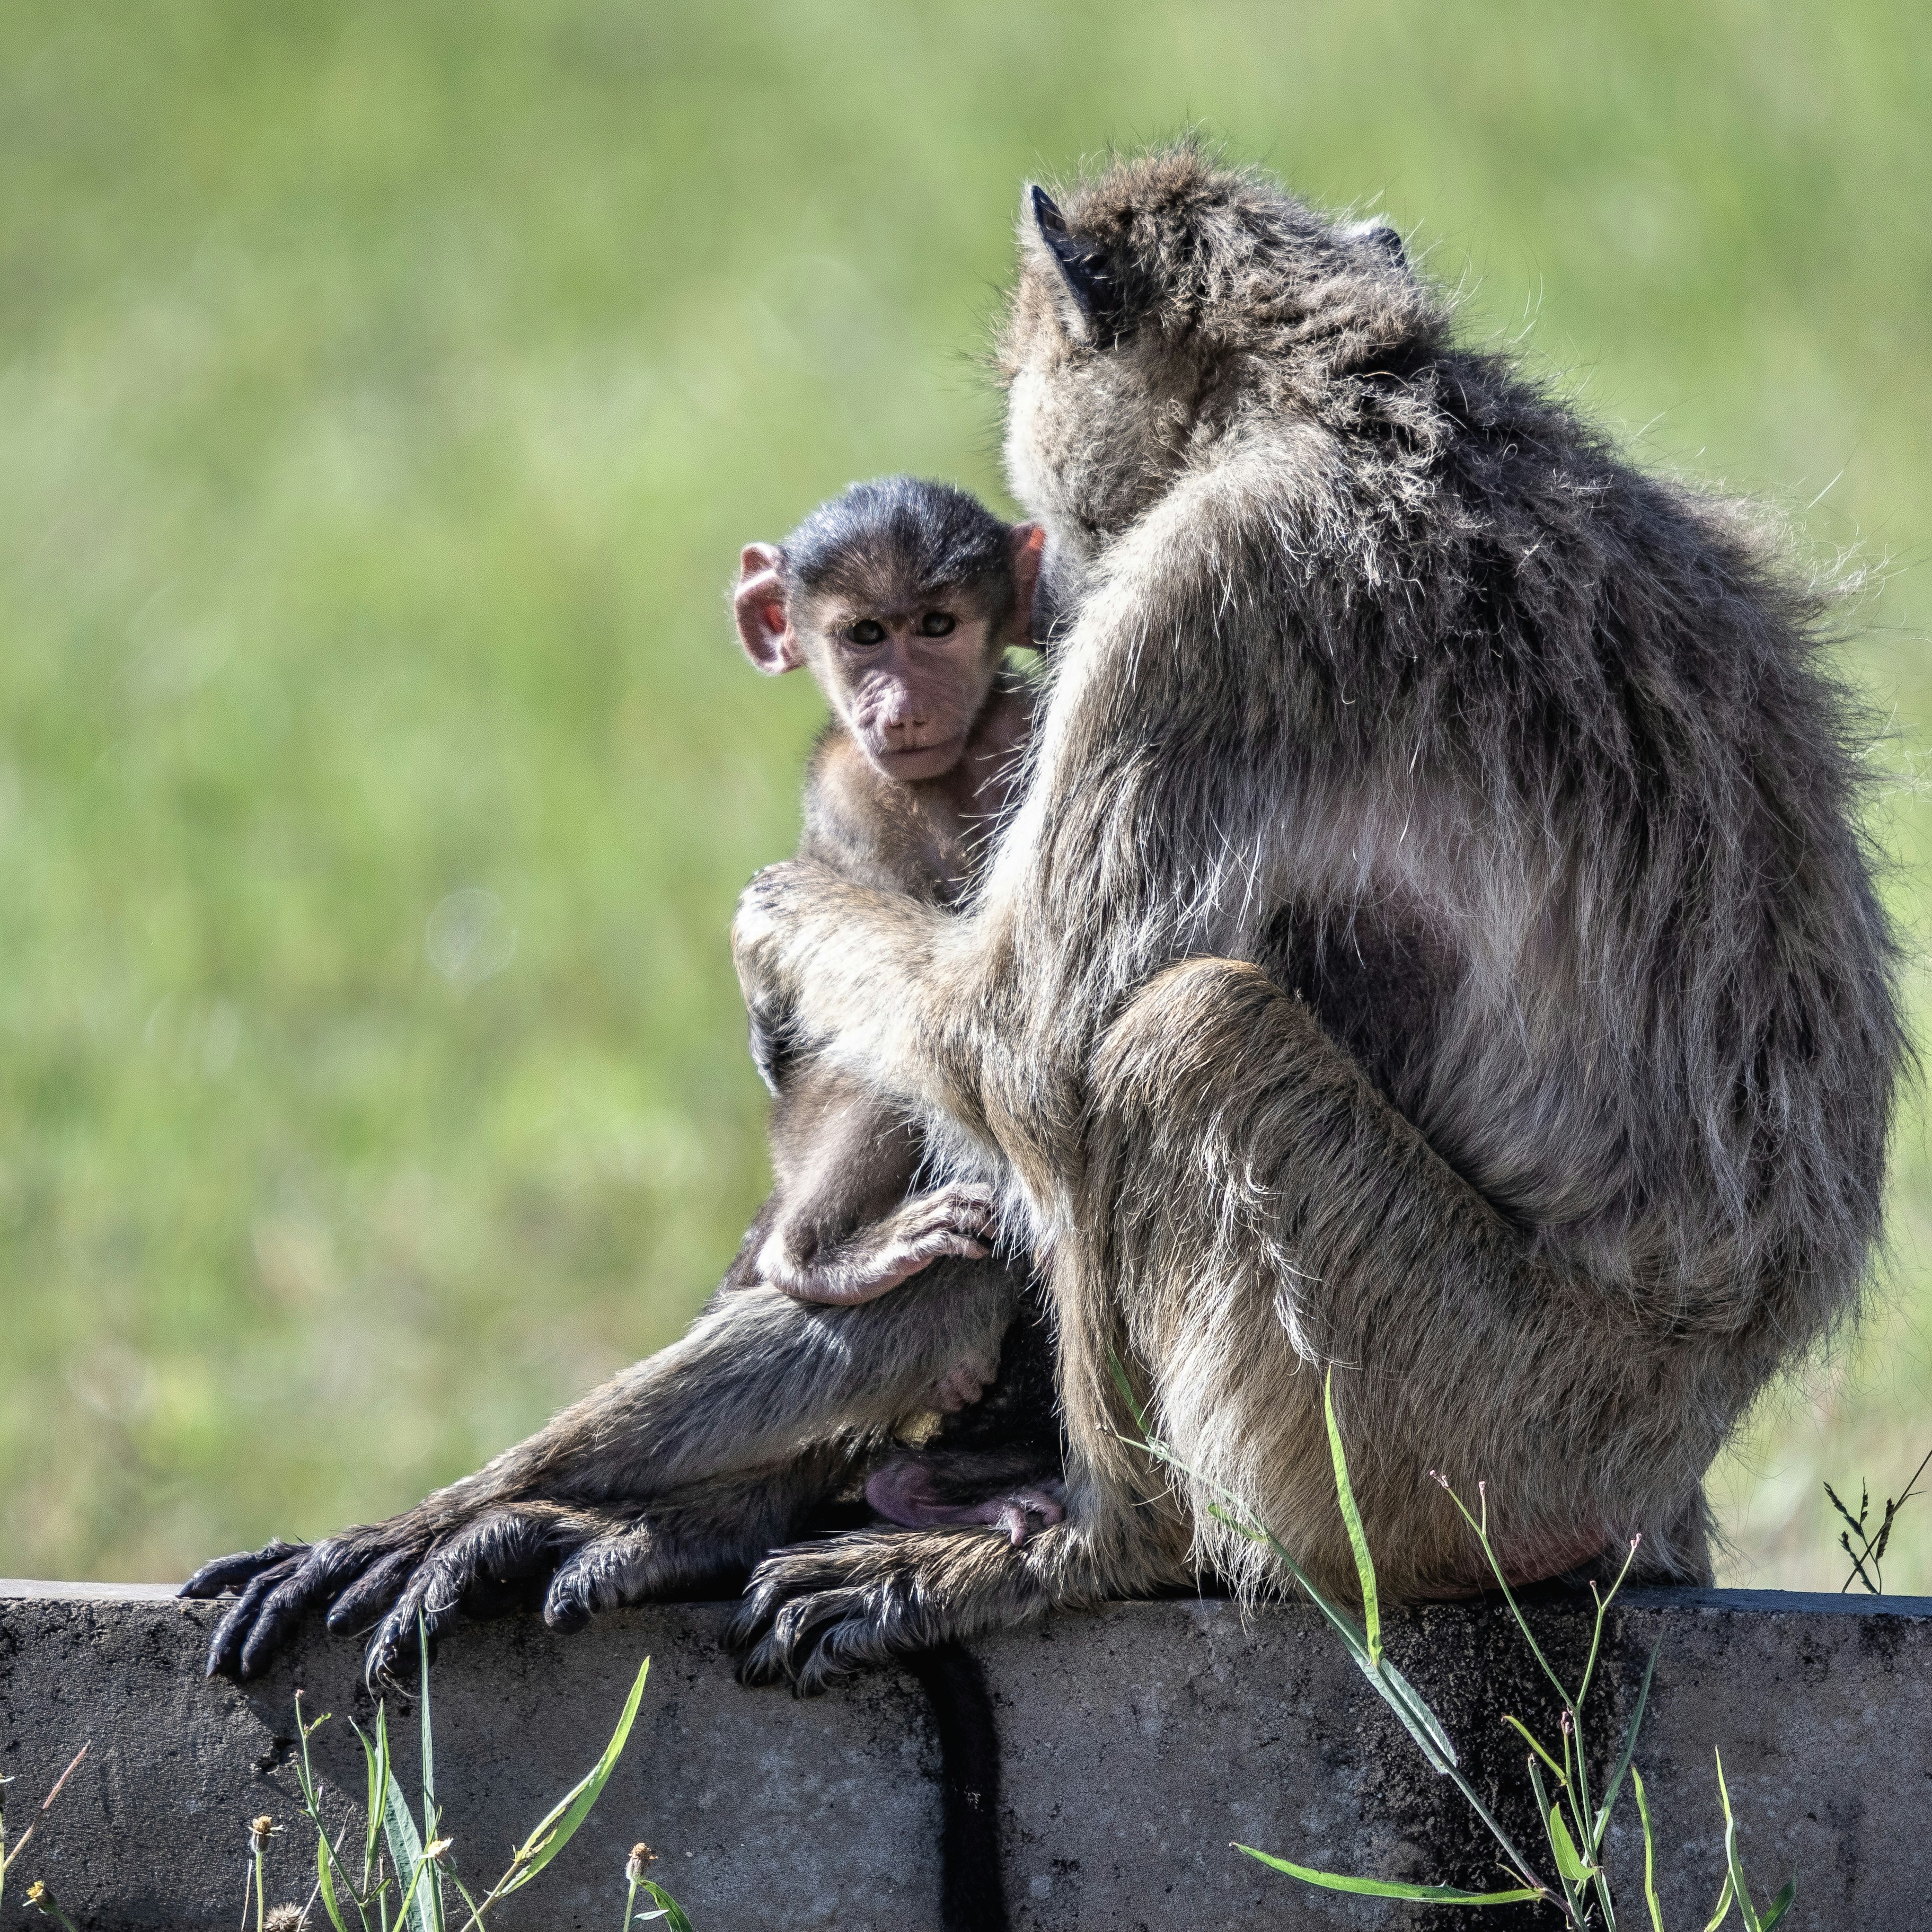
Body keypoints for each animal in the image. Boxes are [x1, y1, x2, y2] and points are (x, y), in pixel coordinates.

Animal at [714, 141, 1904, 1690]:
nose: (1042, 581)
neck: (1351, 402)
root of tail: (1686, 1407)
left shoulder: (1203, 597)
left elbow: (1023, 1044)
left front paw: (774, 923)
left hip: (1471, 1434)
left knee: (1176, 1035)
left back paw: (1104, 1548)